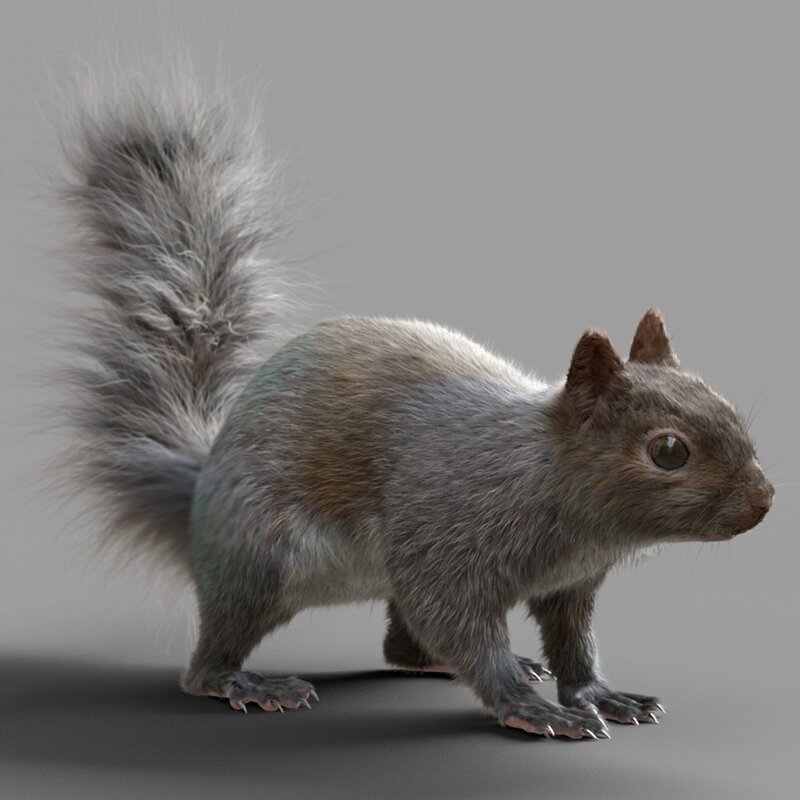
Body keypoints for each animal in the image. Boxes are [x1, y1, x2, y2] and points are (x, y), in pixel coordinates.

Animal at [55, 75, 774, 741]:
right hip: (259, 555)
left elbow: (574, 641)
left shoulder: (570, 584)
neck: (549, 480)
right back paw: (245, 681)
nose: (764, 501)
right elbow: (458, 624)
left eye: (728, 406)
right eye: (668, 450)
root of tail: (201, 490)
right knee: (214, 651)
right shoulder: (446, 538)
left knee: (399, 643)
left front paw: (597, 694)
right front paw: (531, 708)